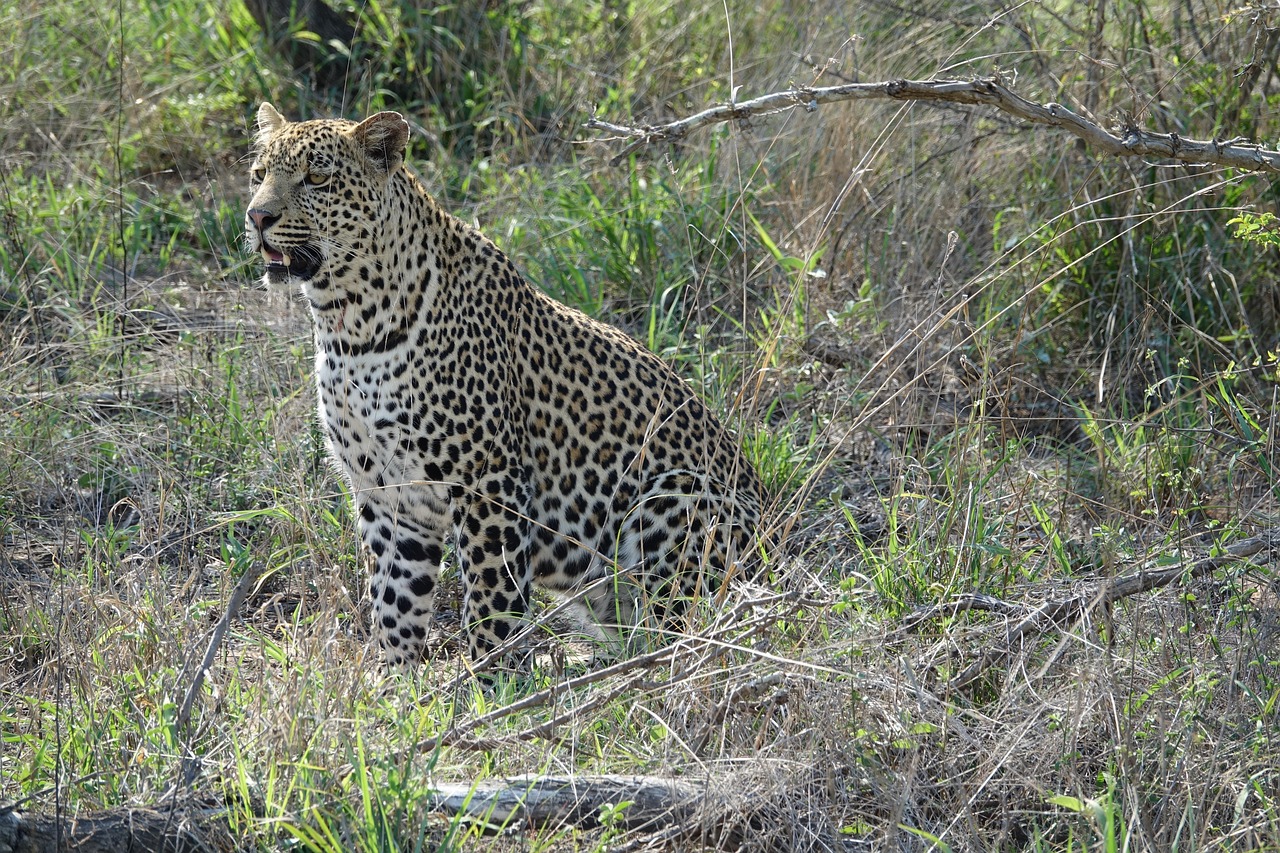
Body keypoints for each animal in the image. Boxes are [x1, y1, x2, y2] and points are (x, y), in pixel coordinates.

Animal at [245, 103, 766, 671]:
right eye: (259, 174)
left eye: (317, 178)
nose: (257, 217)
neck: (348, 321)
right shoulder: (387, 495)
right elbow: (395, 602)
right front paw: (397, 685)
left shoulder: (488, 485)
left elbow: (491, 604)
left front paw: (489, 684)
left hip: (674, 496)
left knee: (684, 631)